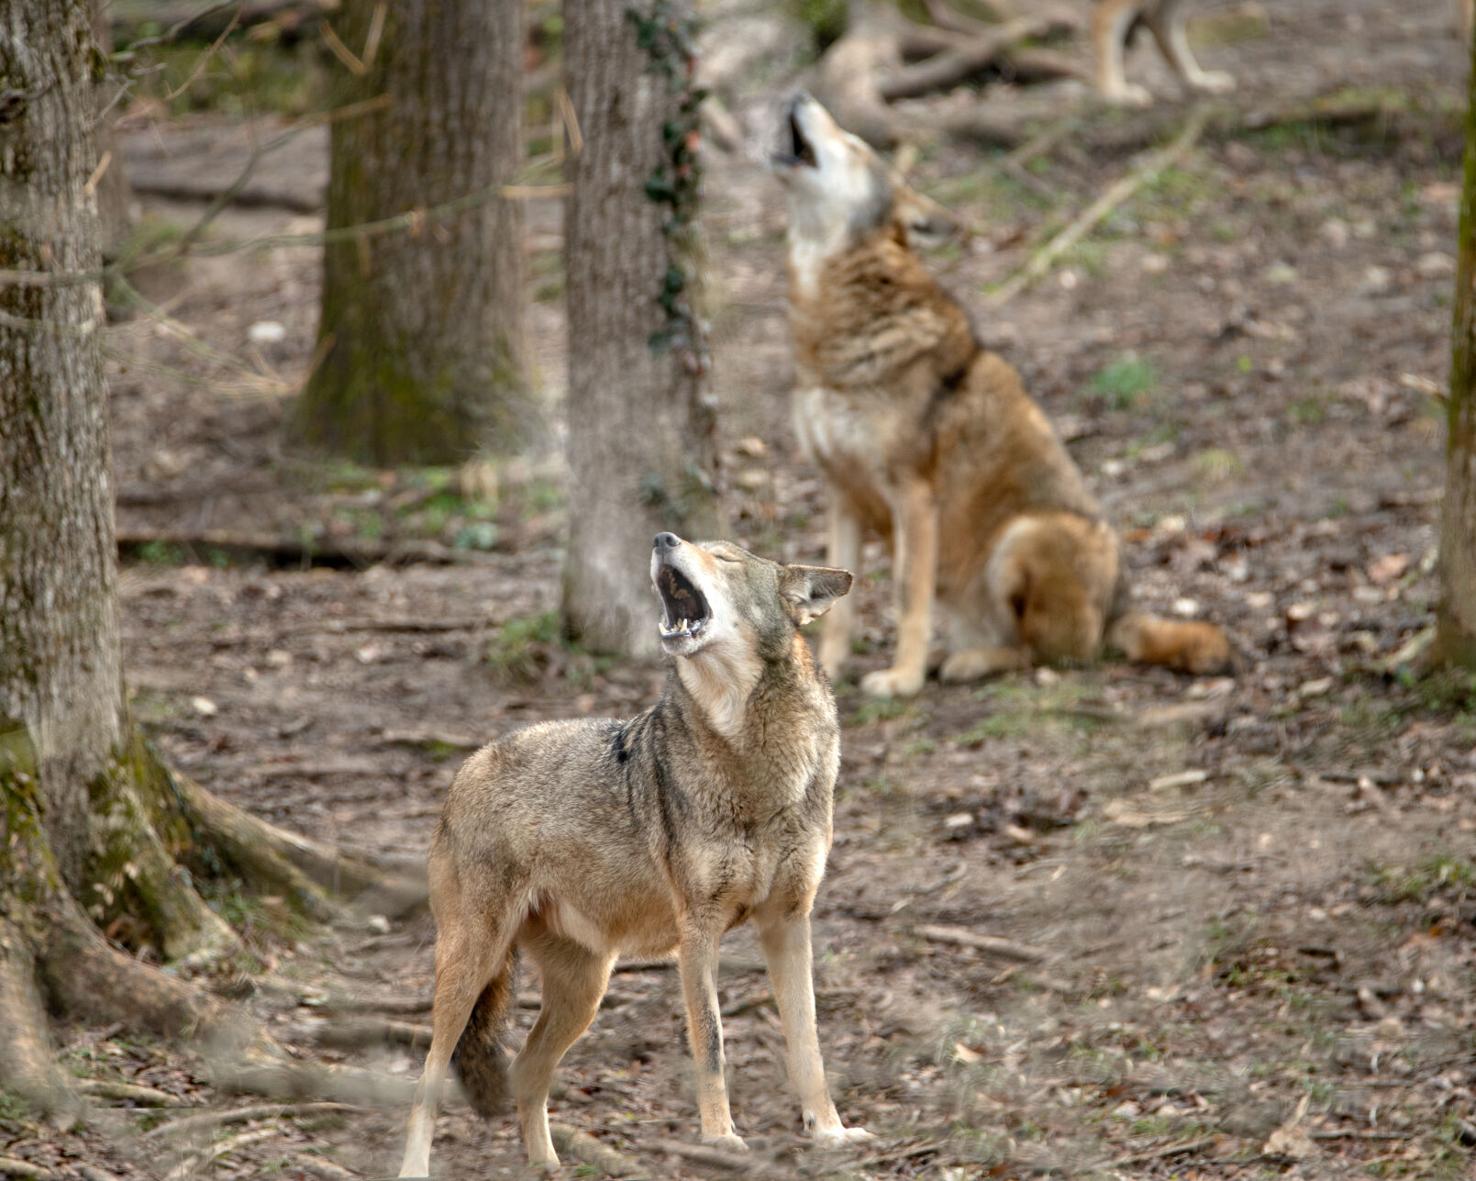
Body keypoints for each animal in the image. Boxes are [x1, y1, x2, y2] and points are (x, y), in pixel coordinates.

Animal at [397, 533, 870, 1175]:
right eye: (698, 543)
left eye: (725, 557)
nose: (664, 538)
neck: (753, 758)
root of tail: (467, 766)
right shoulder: (698, 931)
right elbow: (712, 1045)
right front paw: (720, 1140)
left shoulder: (790, 922)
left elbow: (809, 1043)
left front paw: (830, 1132)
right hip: (471, 967)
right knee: (428, 1075)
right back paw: (417, 1169)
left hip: (585, 992)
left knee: (525, 1069)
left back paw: (549, 1168)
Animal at [774, 94, 1232, 699]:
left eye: (853, 144)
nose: (798, 95)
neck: (828, 338)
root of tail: (1121, 612)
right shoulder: (840, 496)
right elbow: (838, 609)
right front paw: (828, 673)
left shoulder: (913, 495)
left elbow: (905, 595)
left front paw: (902, 679)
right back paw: (956, 655)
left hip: (1023, 535)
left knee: (1047, 657)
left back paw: (968, 663)